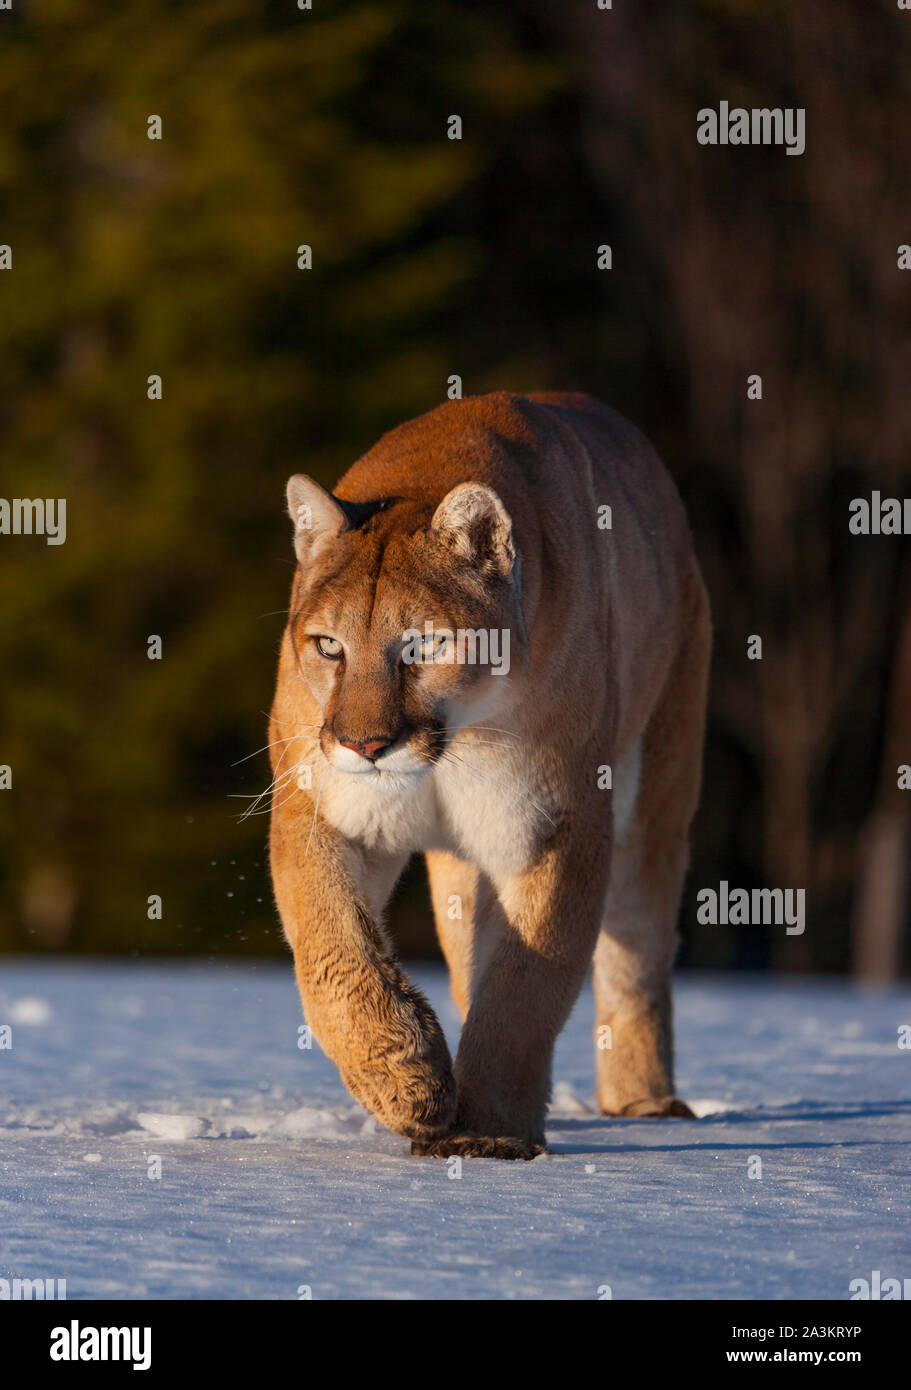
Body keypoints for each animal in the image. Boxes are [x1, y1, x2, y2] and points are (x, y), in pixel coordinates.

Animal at [268, 391, 711, 1159]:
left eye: (420, 645)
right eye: (328, 645)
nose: (364, 744)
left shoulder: (556, 824)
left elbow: (526, 985)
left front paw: (487, 1132)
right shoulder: (319, 807)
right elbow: (332, 945)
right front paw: (407, 1080)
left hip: (656, 797)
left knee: (637, 959)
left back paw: (644, 1104)